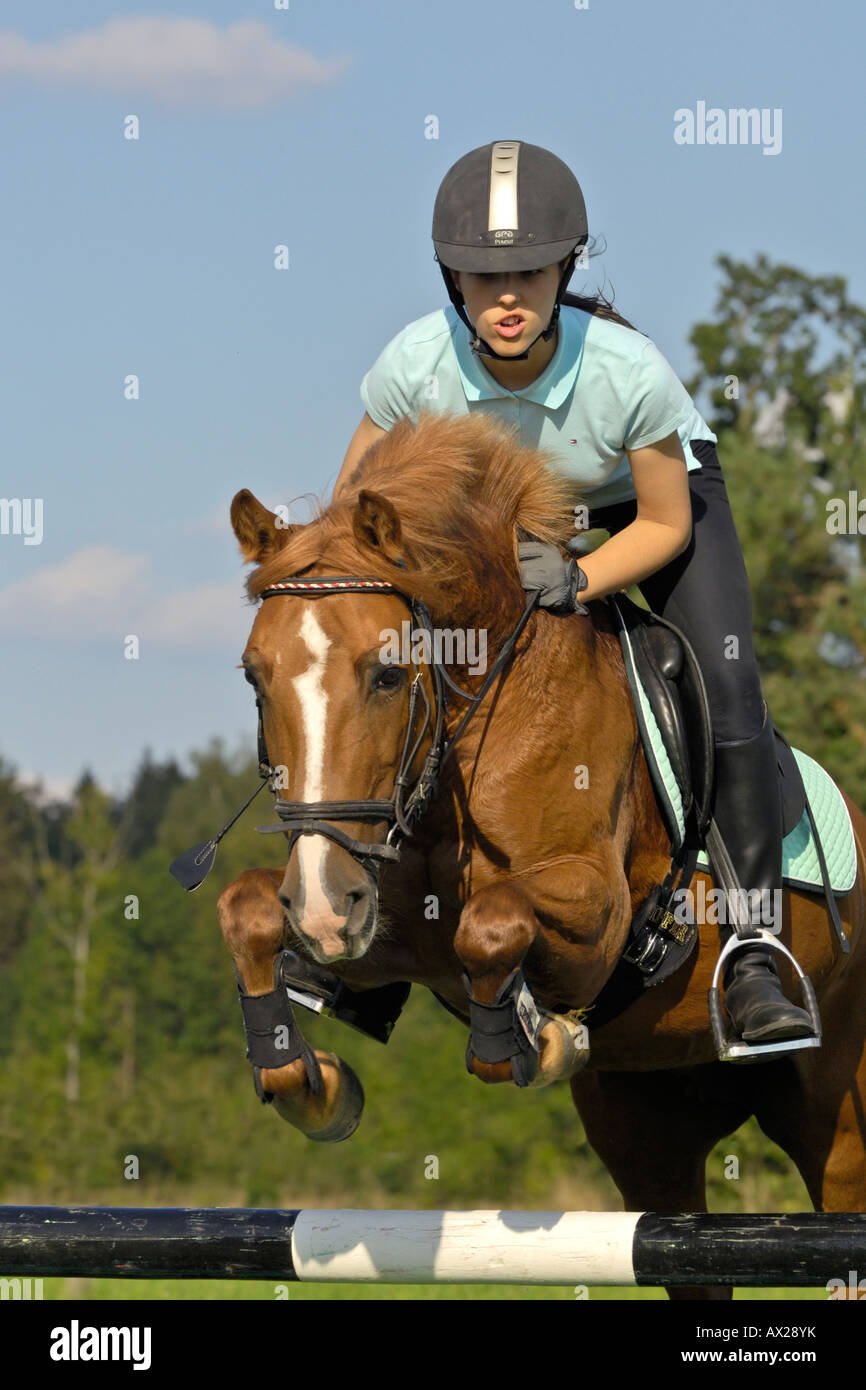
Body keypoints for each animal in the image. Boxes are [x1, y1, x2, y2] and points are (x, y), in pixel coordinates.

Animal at [216, 410, 866, 1300]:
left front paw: (540, 1038)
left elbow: (493, 922)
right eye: (254, 679)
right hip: (649, 1125)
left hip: (834, 1099)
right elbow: (246, 907)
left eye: (386, 675)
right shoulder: (383, 921)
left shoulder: (598, 917)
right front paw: (310, 1082)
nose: (321, 907)